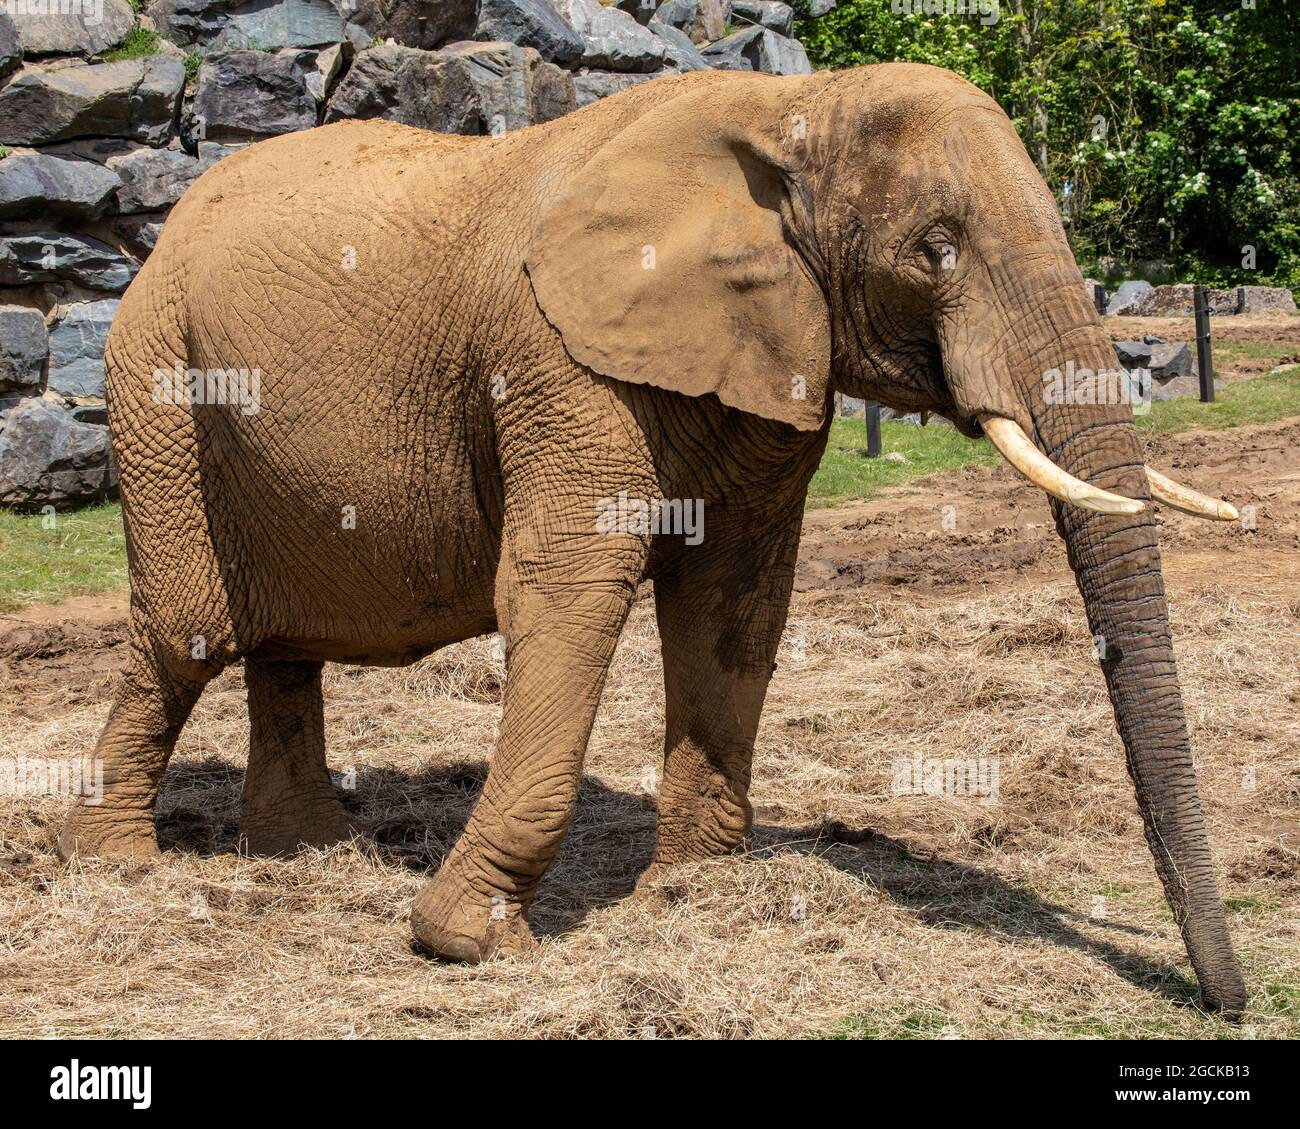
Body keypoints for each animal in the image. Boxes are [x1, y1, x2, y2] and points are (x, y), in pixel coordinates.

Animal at [59, 63, 1247, 1018]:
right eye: (935, 250)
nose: (1225, 1005)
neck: (794, 107)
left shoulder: (775, 357)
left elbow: (736, 601)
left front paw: (693, 894)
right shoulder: (556, 361)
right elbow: (567, 589)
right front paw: (464, 943)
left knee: (281, 643)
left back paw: (305, 851)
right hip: (158, 376)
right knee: (189, 630)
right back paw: (120, 864)